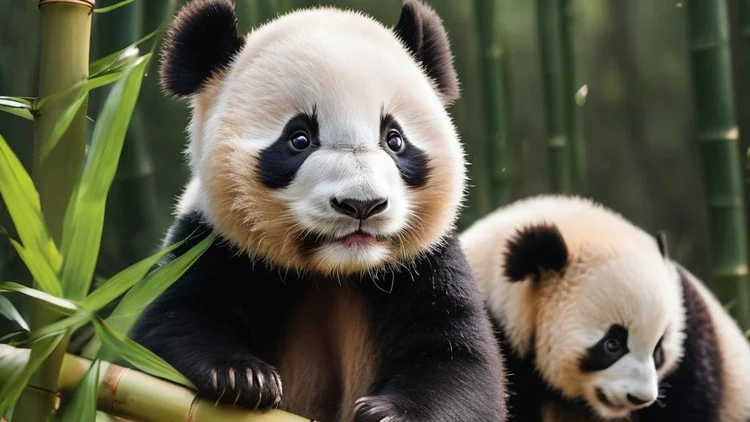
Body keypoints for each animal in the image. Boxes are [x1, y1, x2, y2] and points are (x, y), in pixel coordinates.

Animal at [129, 1, 507, 421]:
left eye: (394, 140)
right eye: (299, 139)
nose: (362, 205)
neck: (334, 270)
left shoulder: (427, 261)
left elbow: (460, 362)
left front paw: (387, 412)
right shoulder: (209, 241)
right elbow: (166, 326)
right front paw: (242, 377)